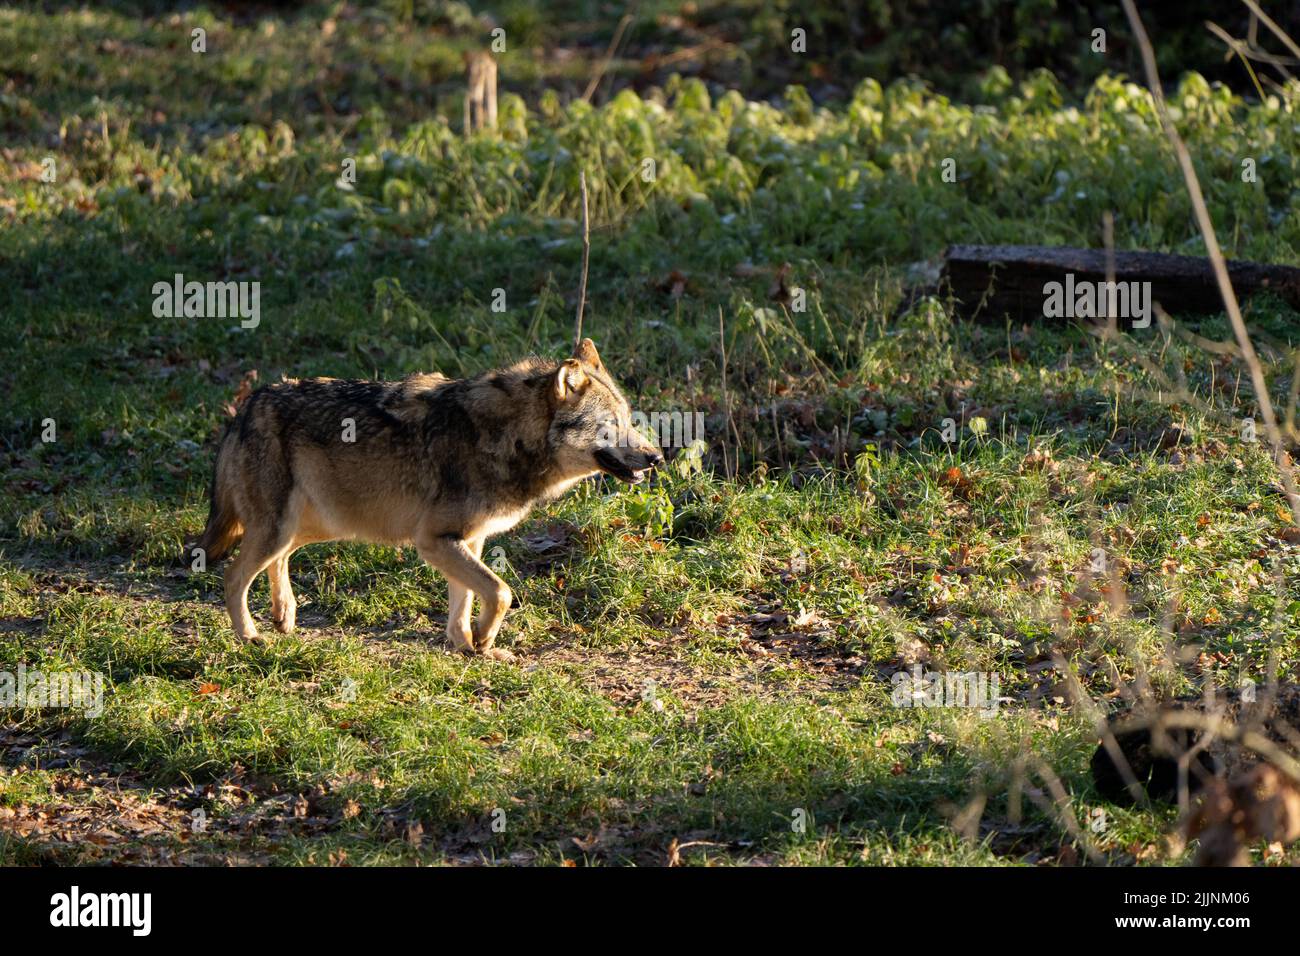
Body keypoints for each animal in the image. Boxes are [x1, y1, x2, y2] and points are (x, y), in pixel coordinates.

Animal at [188, 340, 665, 660]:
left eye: (628, 420)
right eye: (611, 425)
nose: (657, 457)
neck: (506, 437)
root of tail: (248, 404)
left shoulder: (467, 541)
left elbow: (466, 601)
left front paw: (470, 647)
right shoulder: (434, 541)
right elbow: (501, 592)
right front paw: (483, 640)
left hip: (309, 526)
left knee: (278, 562)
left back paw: (284, 616)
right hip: (282, 528)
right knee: (232, 577)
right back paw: (249, 637)